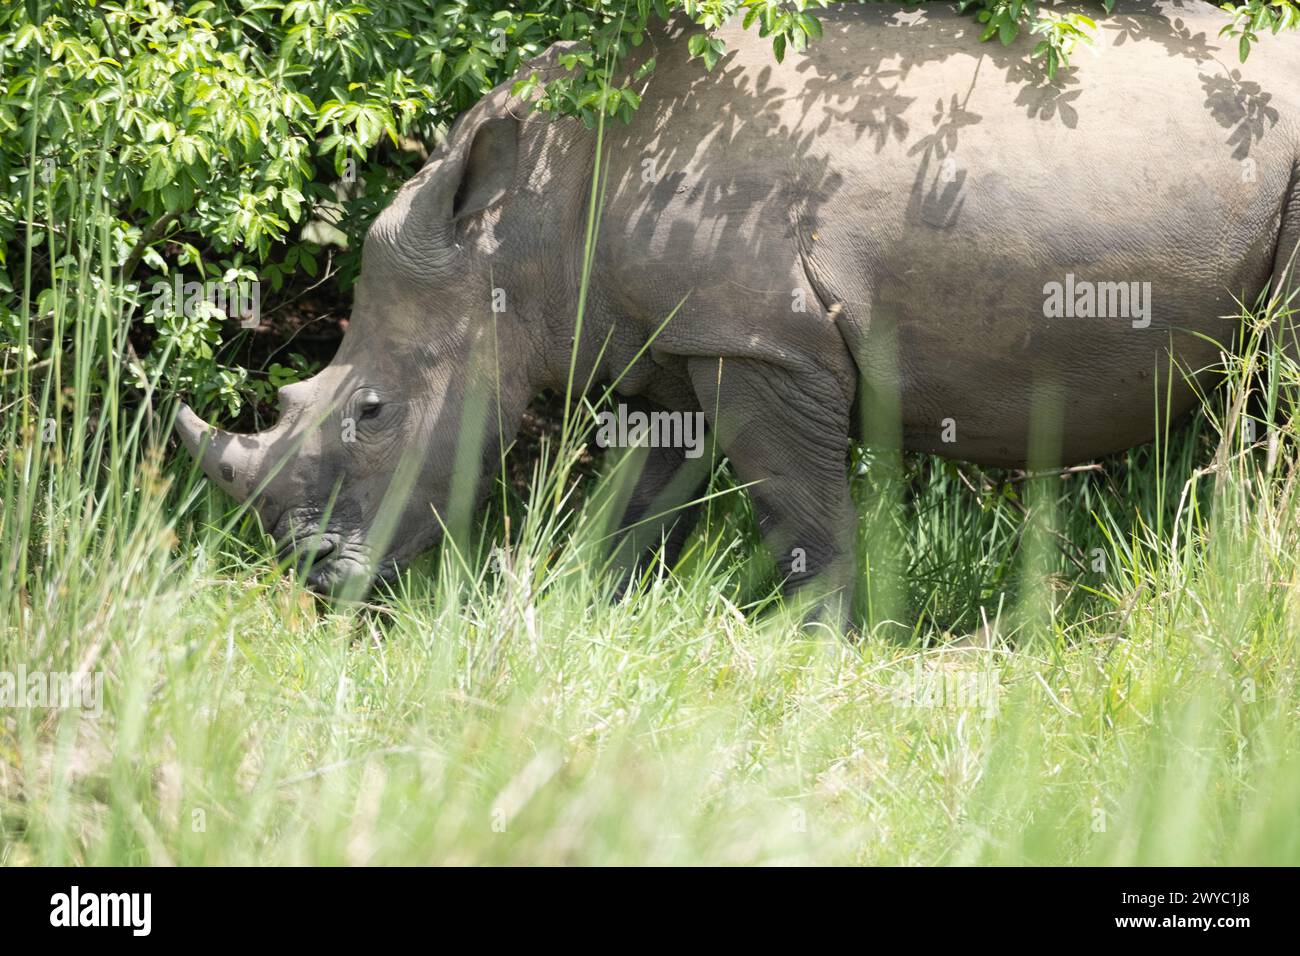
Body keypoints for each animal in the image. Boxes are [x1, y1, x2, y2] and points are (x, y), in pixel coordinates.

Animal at [176, 1, 1300, 625]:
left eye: (371, 413)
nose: (315, 579)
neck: (519, 225)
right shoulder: (670, 342)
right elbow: (637, 496)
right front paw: (589, 609)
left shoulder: (762, 343)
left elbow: (795, 505)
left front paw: (816, 645)